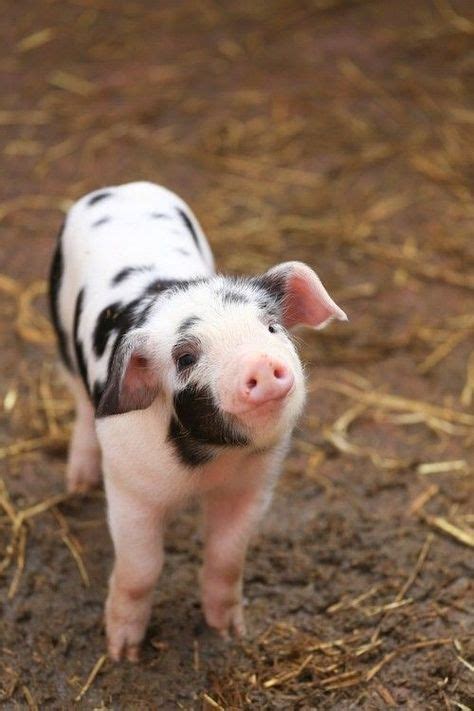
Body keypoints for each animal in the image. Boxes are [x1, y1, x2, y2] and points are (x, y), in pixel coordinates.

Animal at [48, 181, 347, 661]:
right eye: (186, 357)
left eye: (271, 328)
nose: (261, 364)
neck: (209, 461)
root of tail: (120, 187)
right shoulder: (130, 489)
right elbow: (141, 569)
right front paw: (123, 653)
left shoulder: (252, 485)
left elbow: (227, 558)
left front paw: (229, 633)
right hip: (59, 324)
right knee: (77, 400)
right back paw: (77, 483)